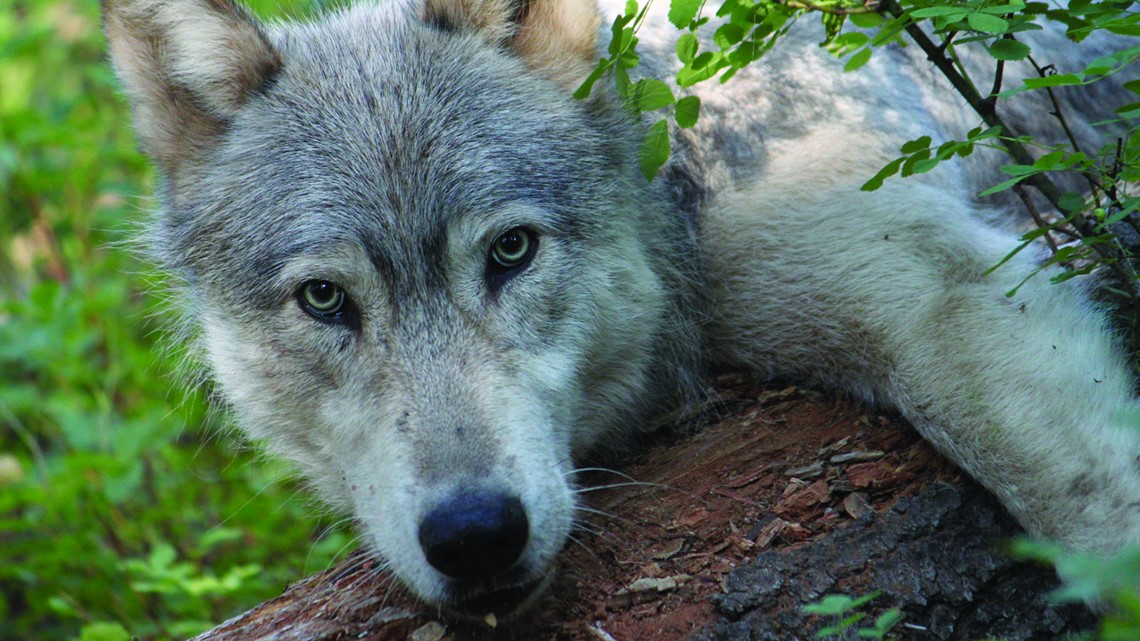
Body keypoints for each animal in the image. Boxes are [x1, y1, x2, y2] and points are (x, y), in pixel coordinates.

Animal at [102, 0, 1140, 617]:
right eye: (326, 298)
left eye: (510, 251)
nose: (475, 535)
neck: (680, 157)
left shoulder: (916, 279)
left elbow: (1094, 515)